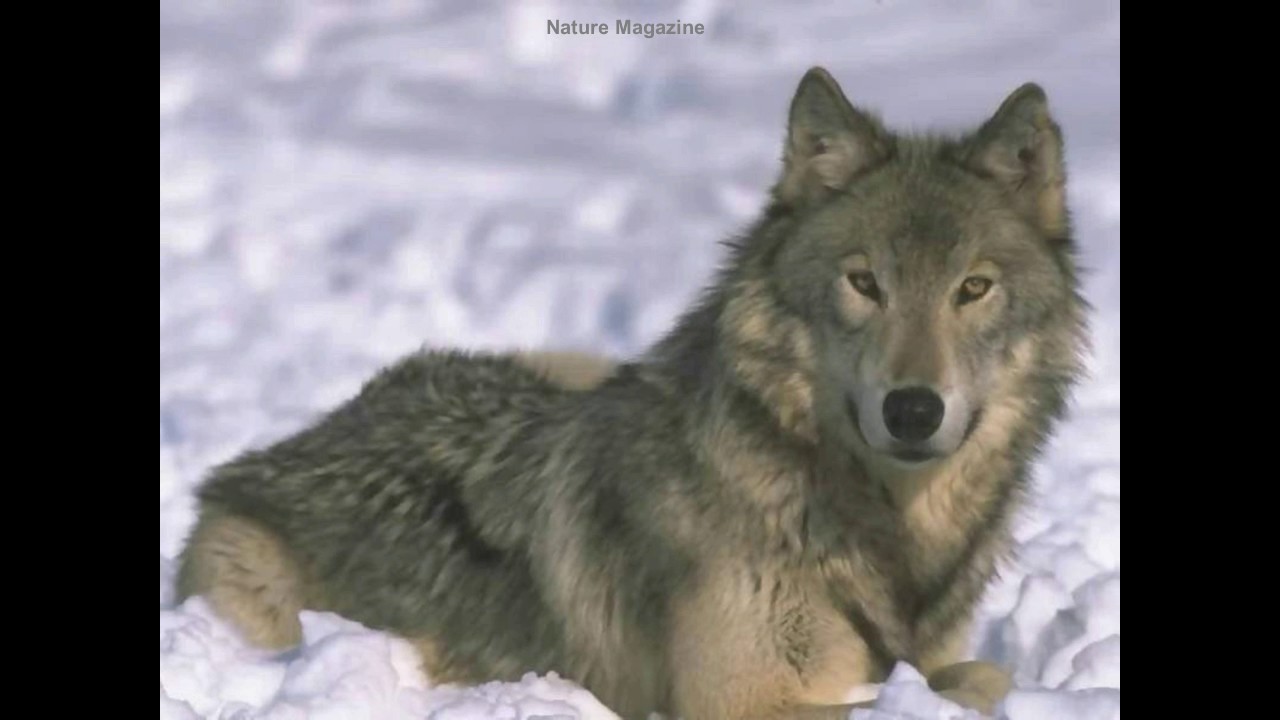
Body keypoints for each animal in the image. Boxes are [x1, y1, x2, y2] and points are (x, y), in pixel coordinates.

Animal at [176, 67, 1087, 719]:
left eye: (973, 288)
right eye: (864, 283)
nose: (913, 410)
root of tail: (280, 451)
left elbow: (971, 673)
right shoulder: (746, 702)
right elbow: (978, 682)